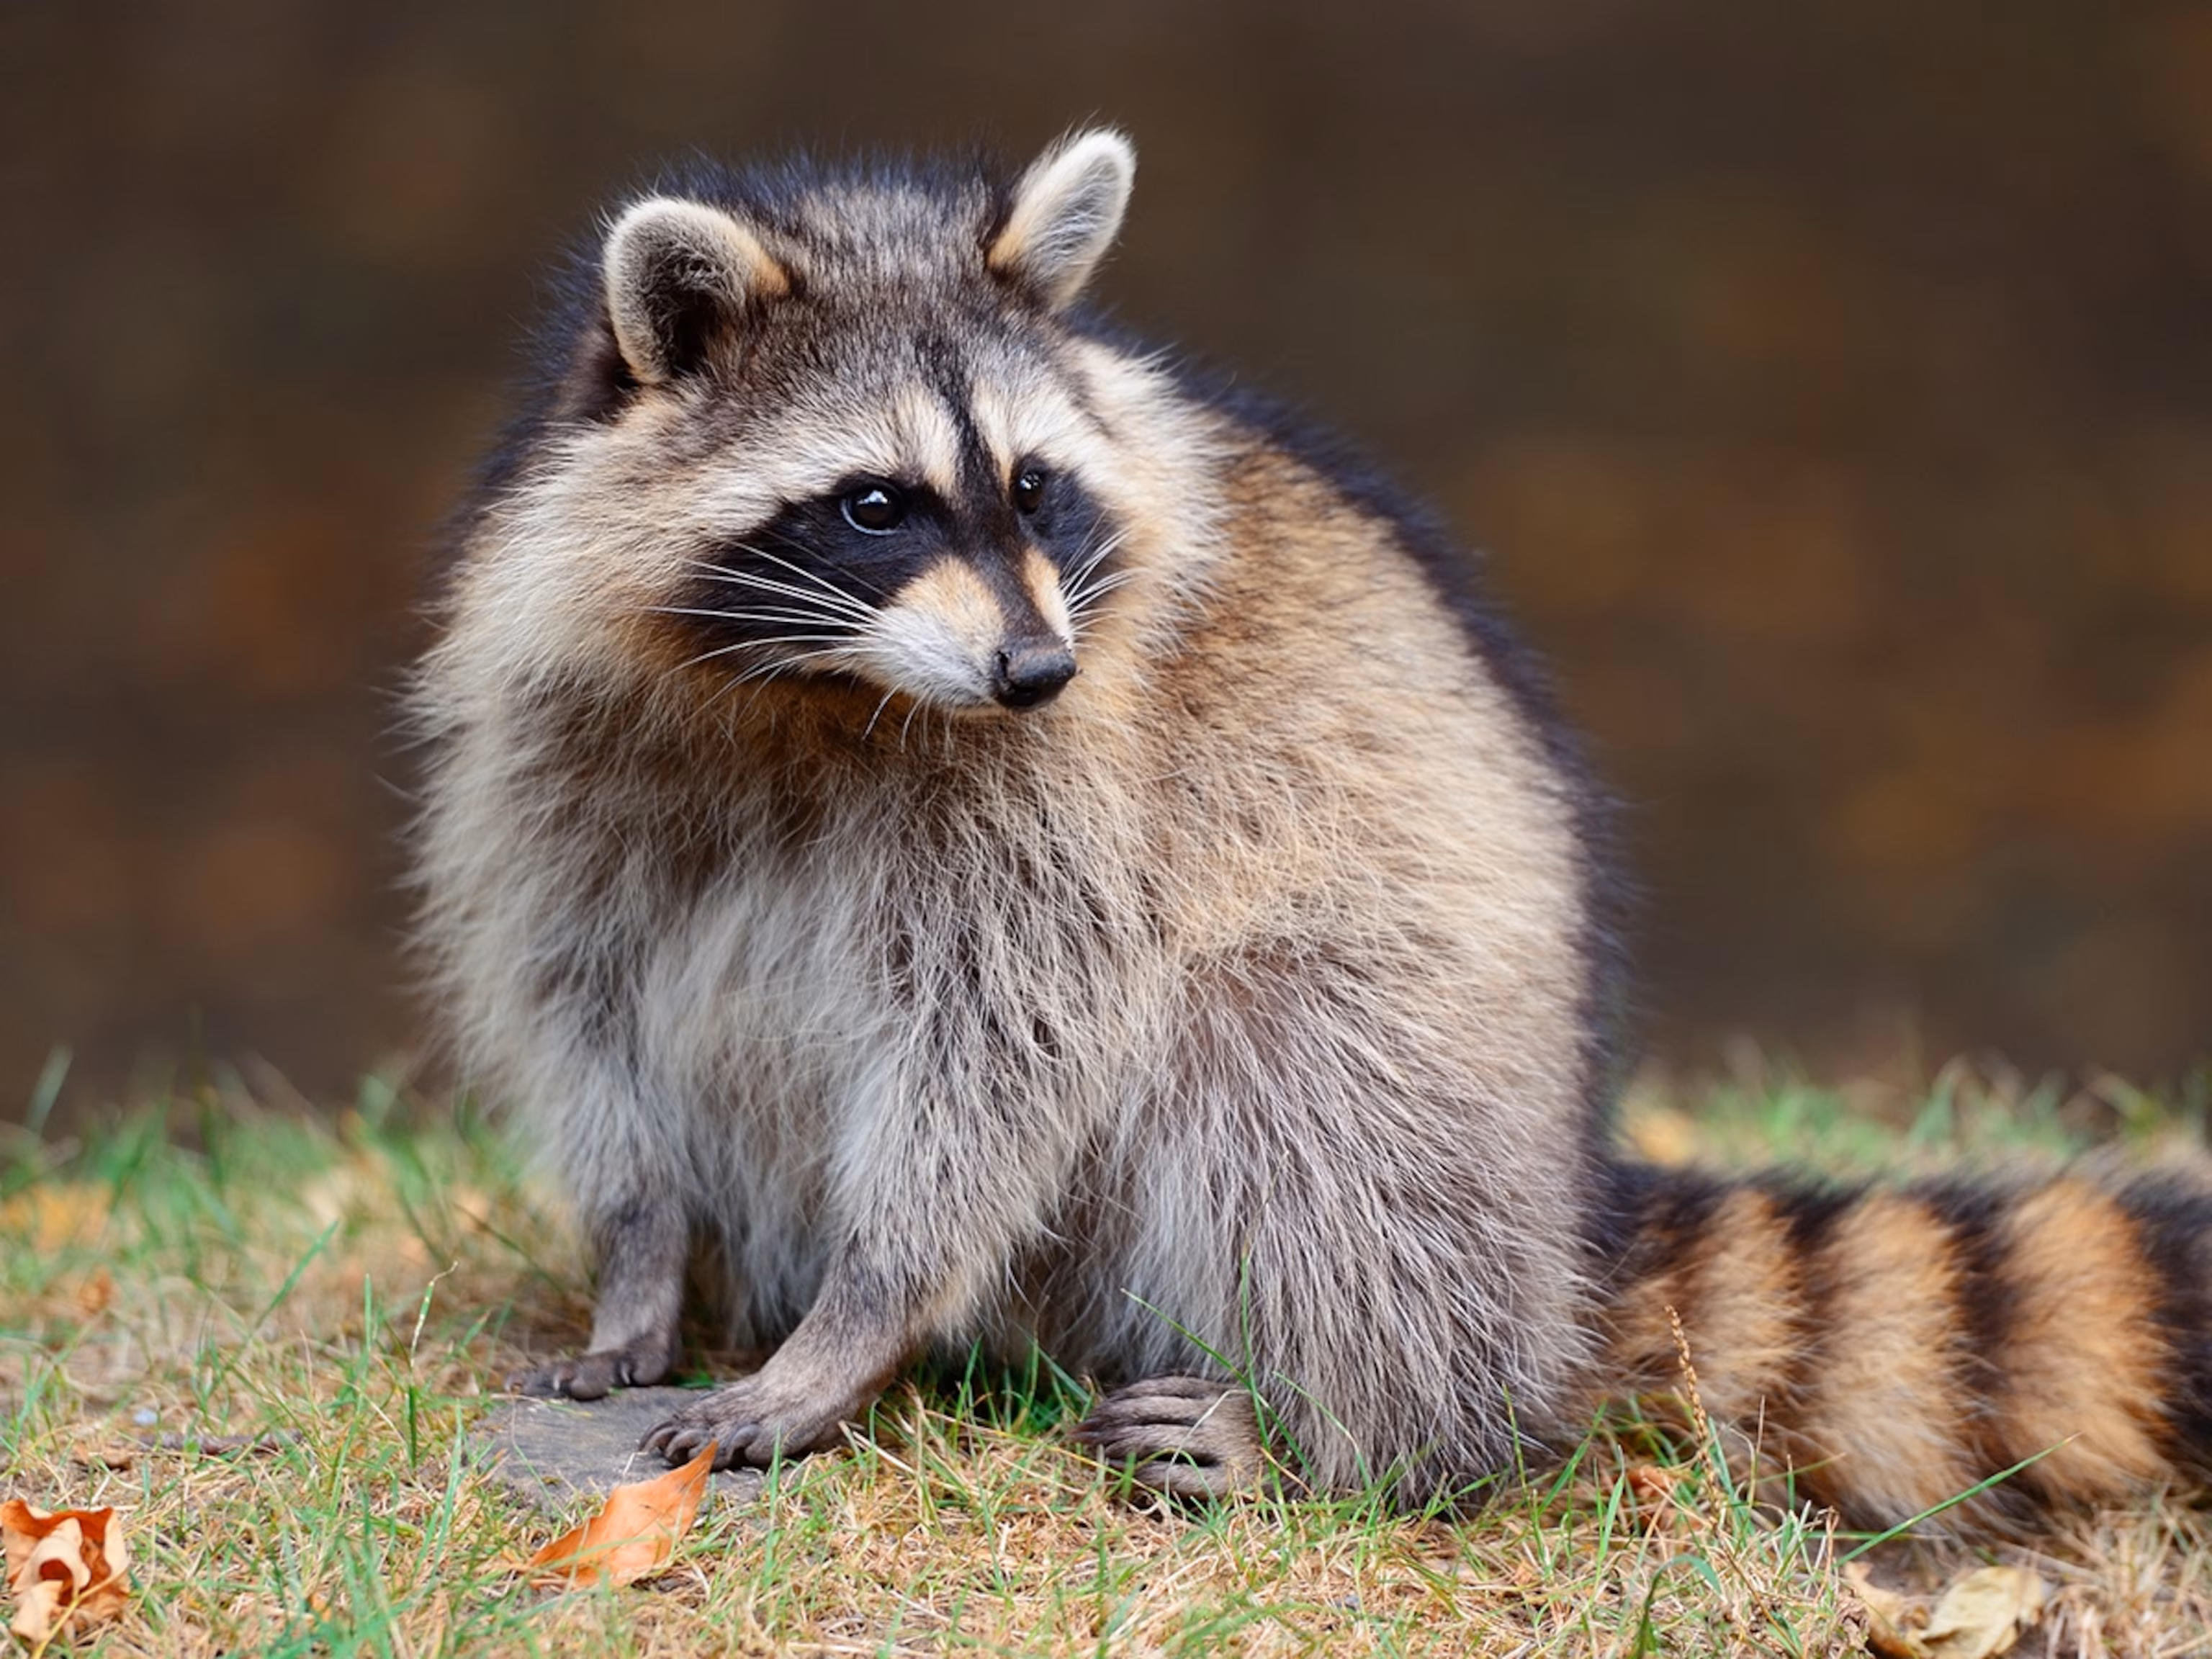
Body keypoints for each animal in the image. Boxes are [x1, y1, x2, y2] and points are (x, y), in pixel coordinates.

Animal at [413, 130, 2212, 1528]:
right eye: (876, 504)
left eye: (1035, 486)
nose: (1038, 668)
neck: (815, 684)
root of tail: (1568, 1221)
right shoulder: (555, 739)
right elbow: (578, 993)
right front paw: (640, 1253)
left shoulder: (1074, 789)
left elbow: (1001, 1050)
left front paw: (862, 1315)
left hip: (1424, 1069)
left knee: (1299, 1086)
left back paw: (1357, 1435)